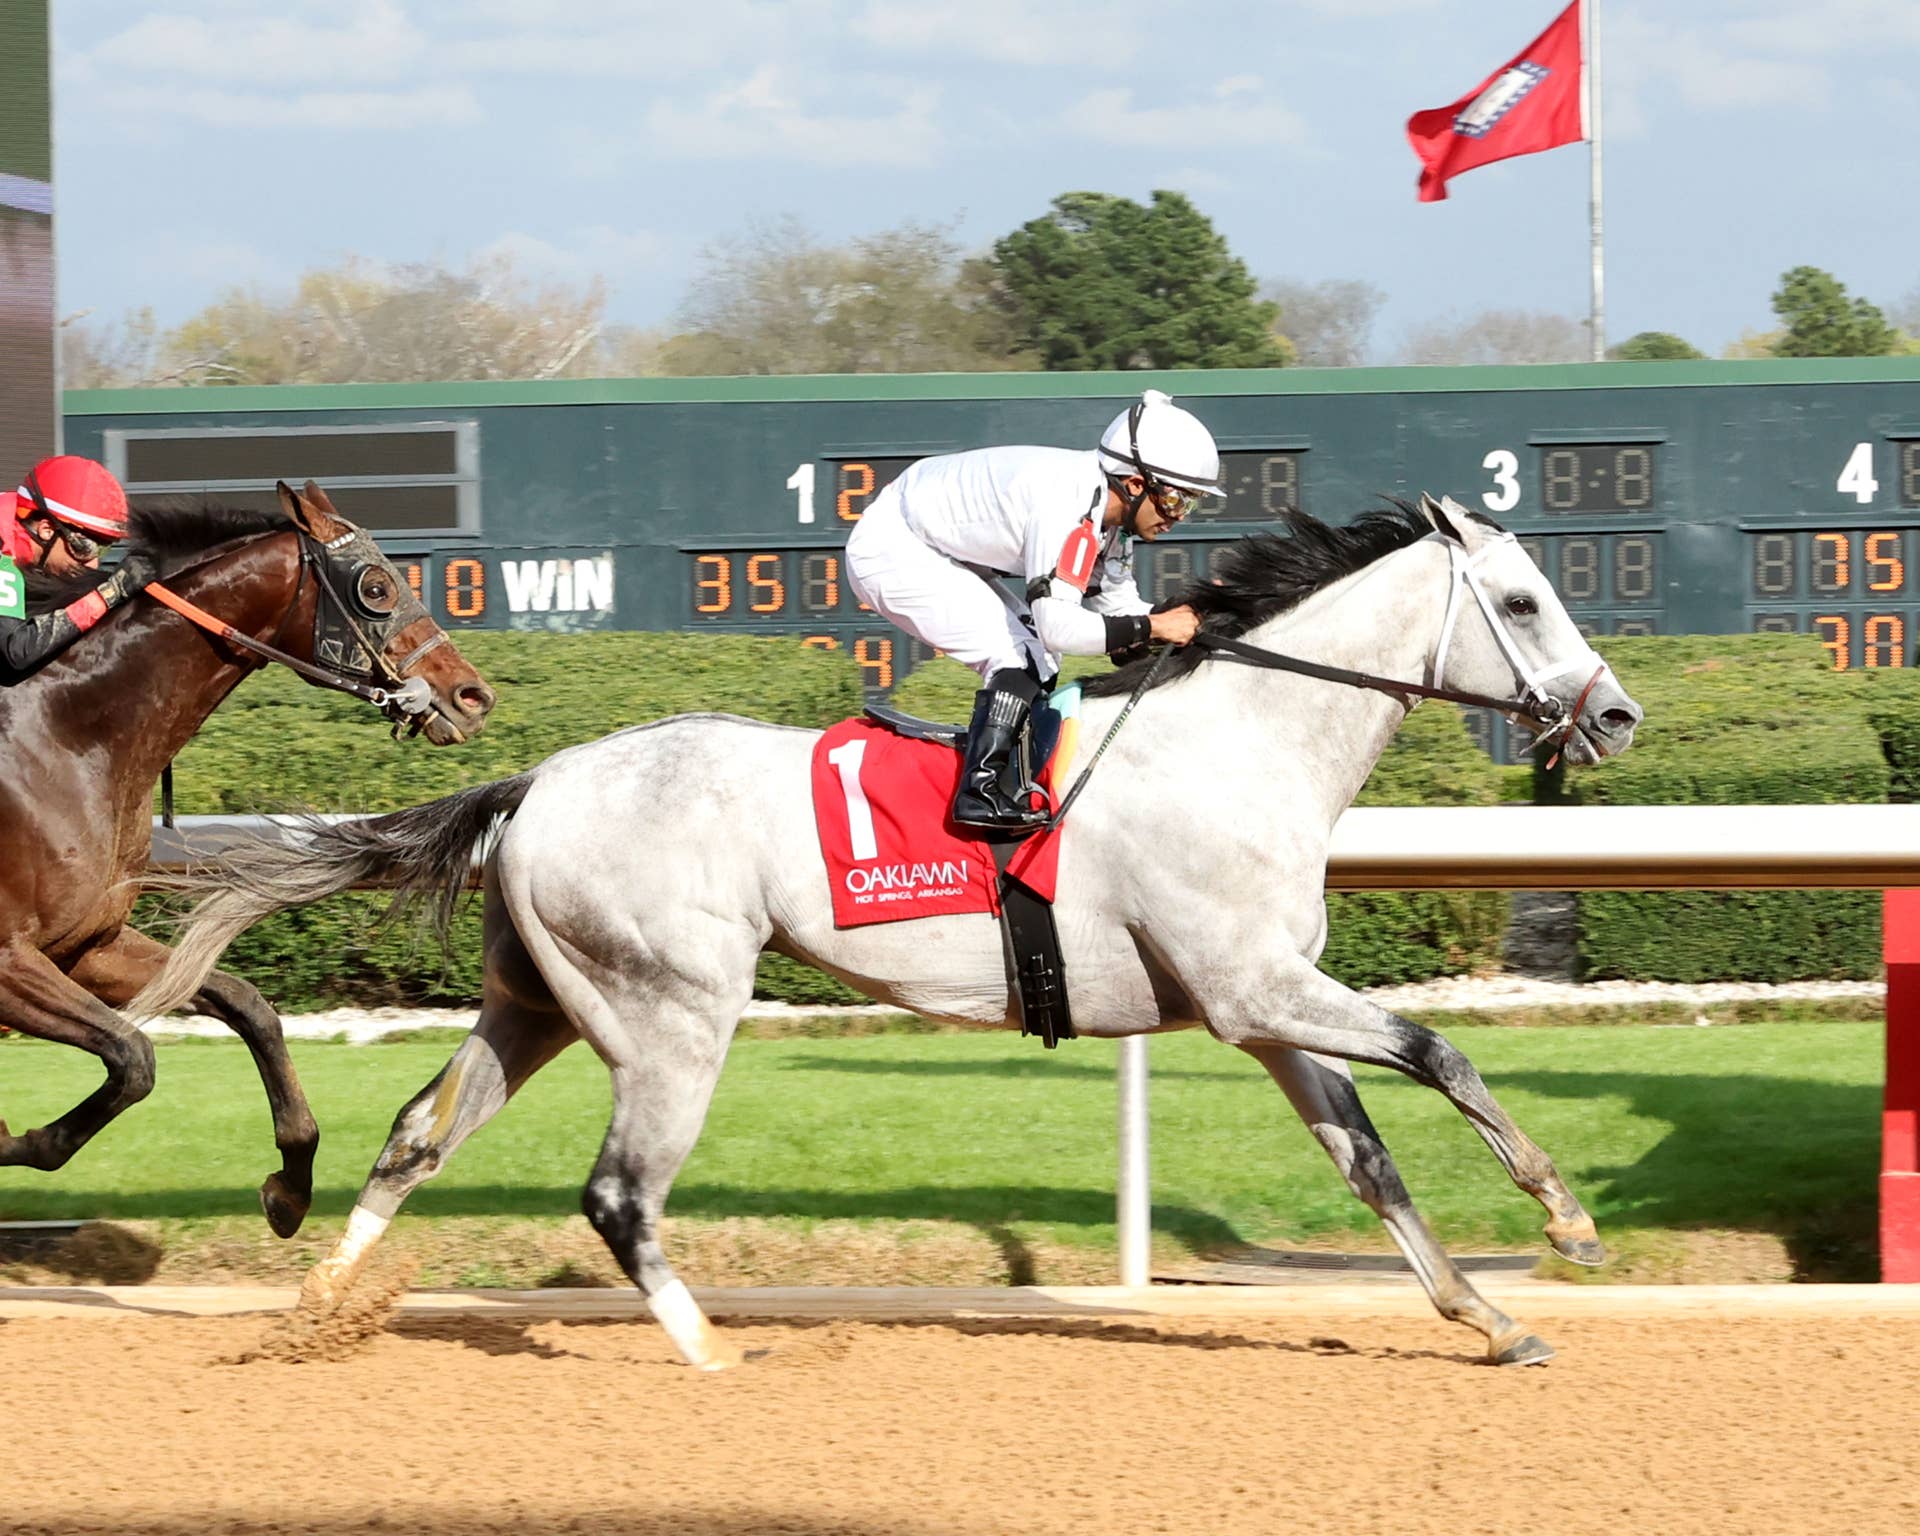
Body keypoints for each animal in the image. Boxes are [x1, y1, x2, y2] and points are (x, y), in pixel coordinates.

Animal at [0, 480, 495, 1238]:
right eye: (377, 587)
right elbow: (134, 1057)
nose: (473, 696)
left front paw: (291, 1185)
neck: (66, 737)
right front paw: (15, 1140)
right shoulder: (8, 960)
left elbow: (247, 1005)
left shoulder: (86, 945)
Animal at [136, 494, 1641, 1364]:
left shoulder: (1262, 1008)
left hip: (540, 1002)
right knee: (620, 1192)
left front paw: (1488, 1317)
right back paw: (711, 1354)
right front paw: (1565, 1224)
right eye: (1522, 601)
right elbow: (1442, 1053)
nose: (1616, 715)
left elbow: (1368, 1159)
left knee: (416, 1135)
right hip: (674, 1015)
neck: (1240, 747)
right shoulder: (1258, 989)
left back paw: (317, 1310)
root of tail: (538, 780)